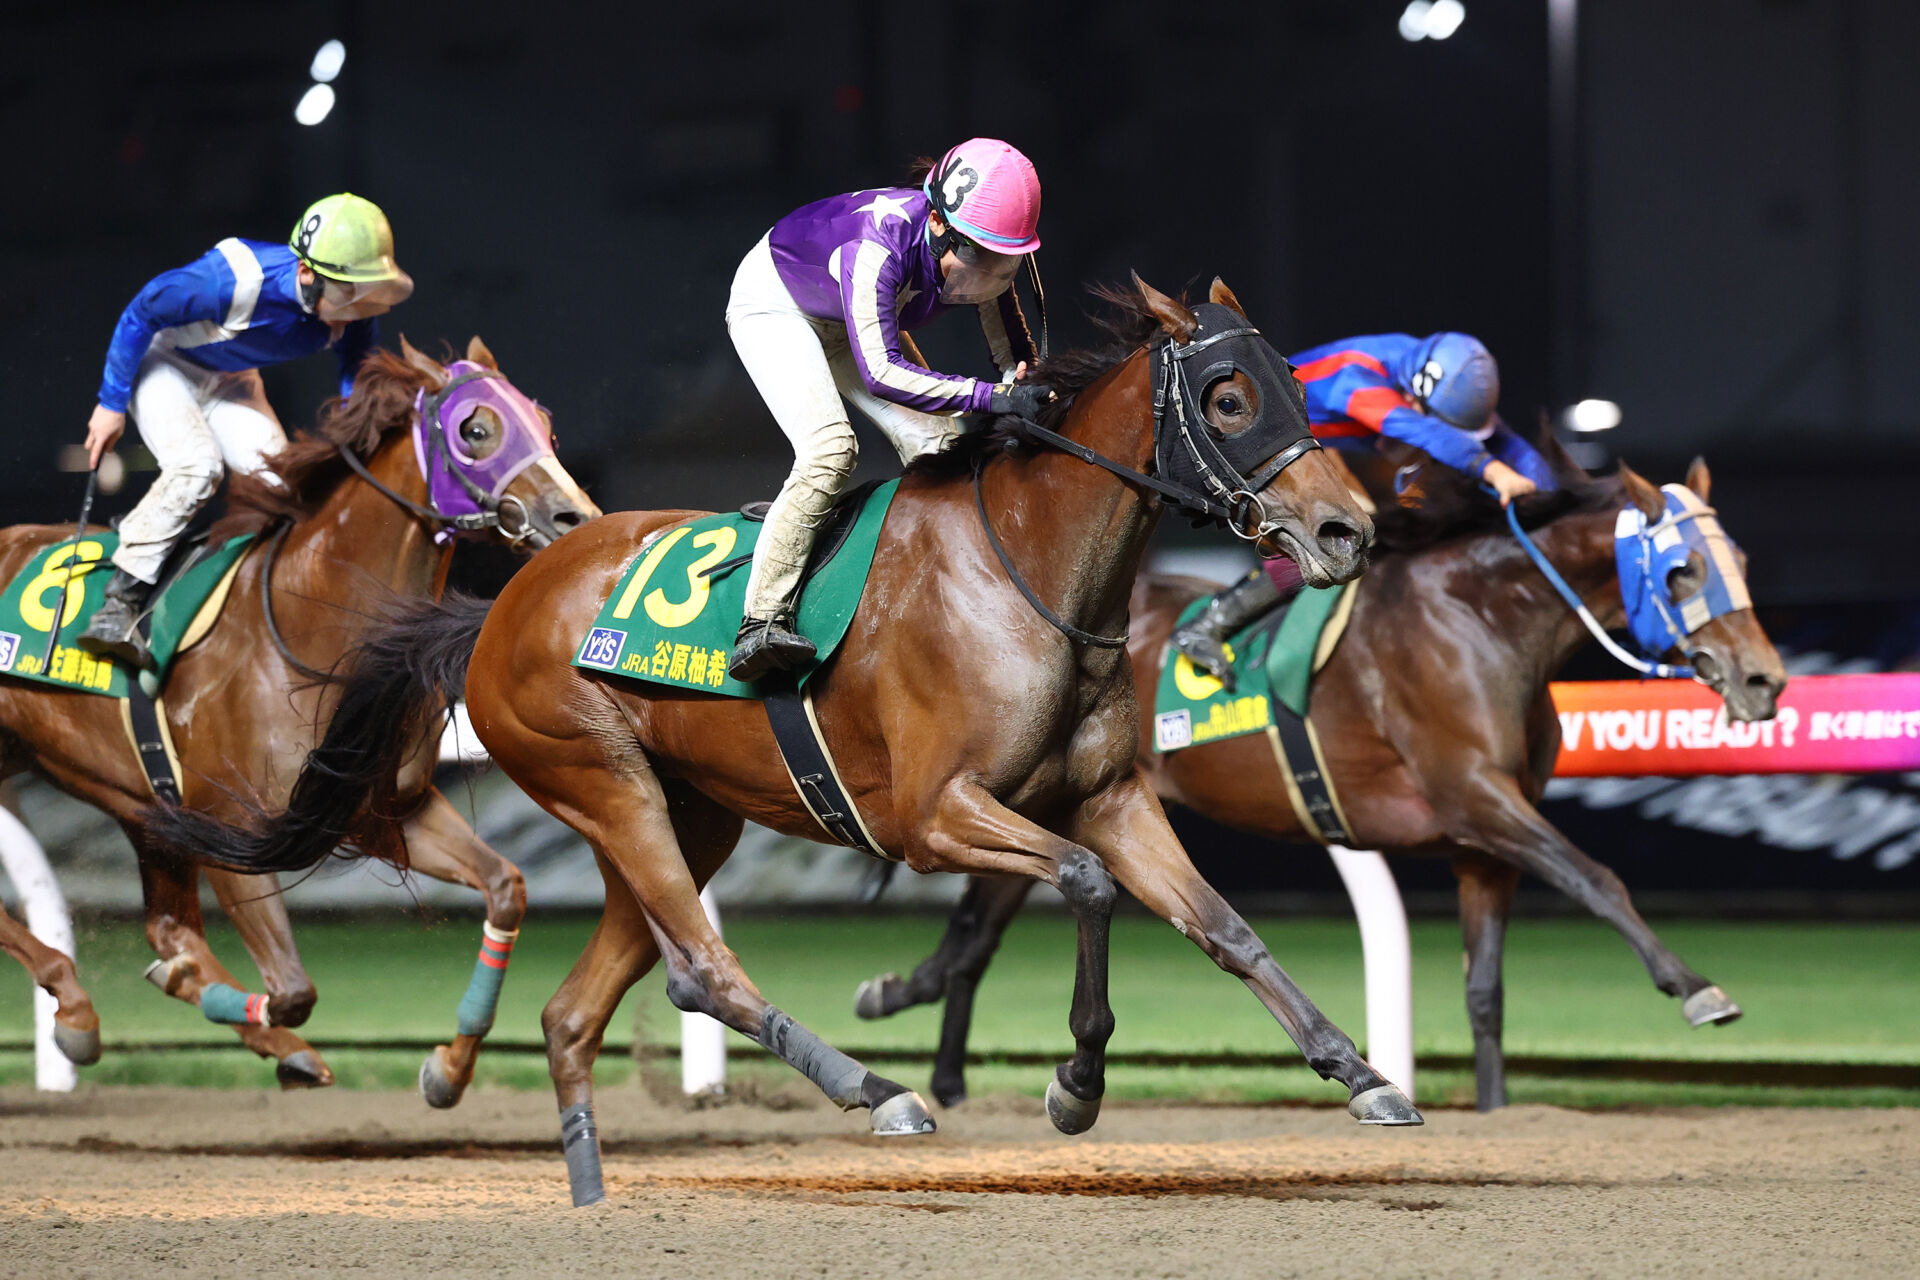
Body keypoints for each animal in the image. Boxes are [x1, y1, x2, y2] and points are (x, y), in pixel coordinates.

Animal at [0, 336, 597, 1098]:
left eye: (544, 424)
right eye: (475, 429)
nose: (573, 518)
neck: (312, 621)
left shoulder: (376, 809)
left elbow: (506, 889)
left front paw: (447, 1067)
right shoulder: (228, 823)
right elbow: (292, 990)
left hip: (135, 802)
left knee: (168, 926)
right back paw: (76, 1006)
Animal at [162, 276, 1430, 1207]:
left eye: (1291, 381)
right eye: (1226, 395)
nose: (1347, 528)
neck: (1028, 564)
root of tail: (504, 601)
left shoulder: (1114, 794)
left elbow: (1225, 926)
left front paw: (1363, 1072)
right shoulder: (934, 815)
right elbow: (1081, 883)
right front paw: (1074, 1082)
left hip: (692, 813)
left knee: (582, 1007)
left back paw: (589, 1188)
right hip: (601, 775)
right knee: (701, 965)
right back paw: (879, 1090)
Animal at [853, 436, 1789, 1111]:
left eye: (1742, 558)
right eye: (1683, 570)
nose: (1765, 681)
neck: (1485, 619)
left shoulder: (1482, 844)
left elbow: (1485, 988)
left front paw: (1494, 1104)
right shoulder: (1475, 797)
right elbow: (1597, 876)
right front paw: (1697, 988)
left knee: (975, 936)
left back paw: (932, 1049)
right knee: (976, 934)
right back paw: (915, 1026)